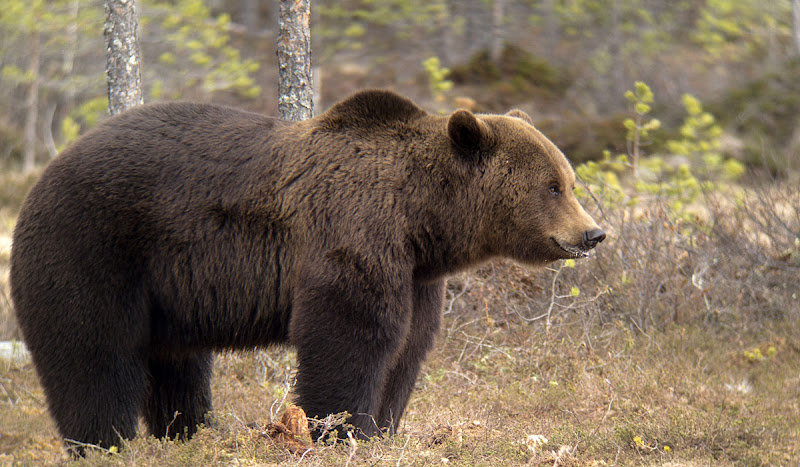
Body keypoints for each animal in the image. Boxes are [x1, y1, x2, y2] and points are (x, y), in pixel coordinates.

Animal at [10, 89, 604, 454]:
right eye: (552, 186)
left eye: (569, 181)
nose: (593, 234)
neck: (420, 218)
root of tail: (43, 174)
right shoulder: (352, 233)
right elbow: (350, 337)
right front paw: (338, 430)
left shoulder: (415, 274)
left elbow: (409, 346)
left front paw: (383, 428)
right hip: (93, 248)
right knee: (93, 353)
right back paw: (102, 442)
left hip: (168, 291)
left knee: (178, 364)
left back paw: (189, 432)